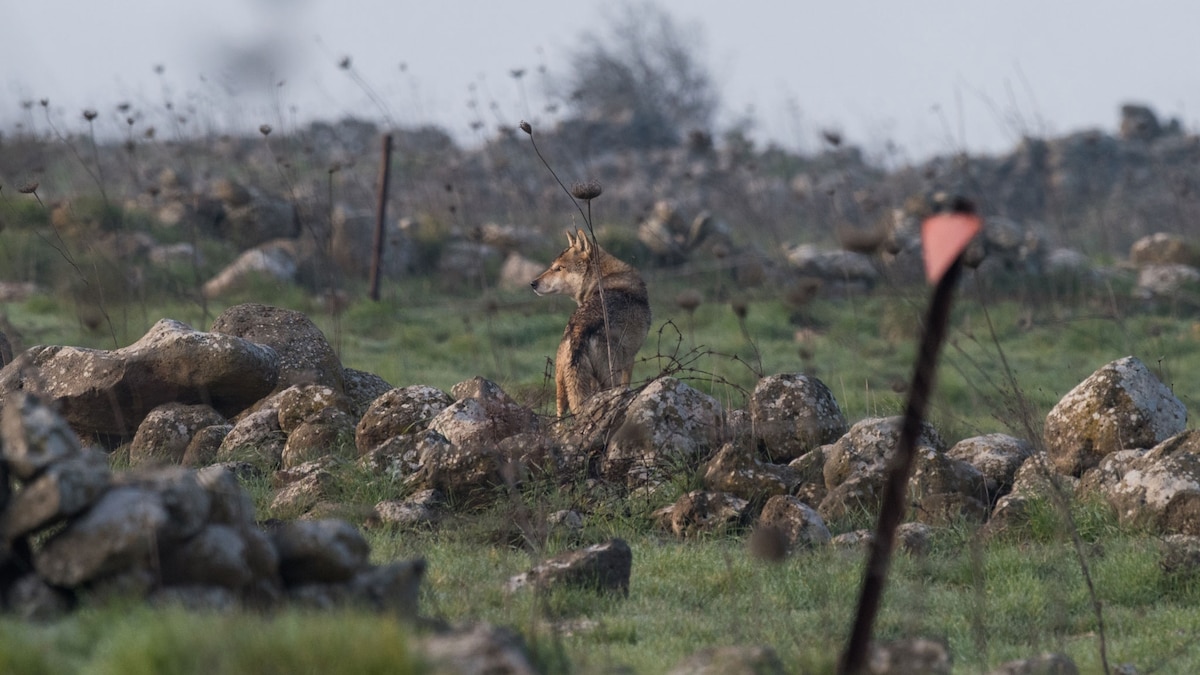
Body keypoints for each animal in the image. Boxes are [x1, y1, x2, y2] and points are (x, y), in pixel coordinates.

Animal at [532, 229, 652, 416]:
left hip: (562, 387)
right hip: (610, 378)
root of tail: (578, 331)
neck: (603, 278)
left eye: (558, 268)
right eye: (553, 267)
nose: (533, 283)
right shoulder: (629, 361)